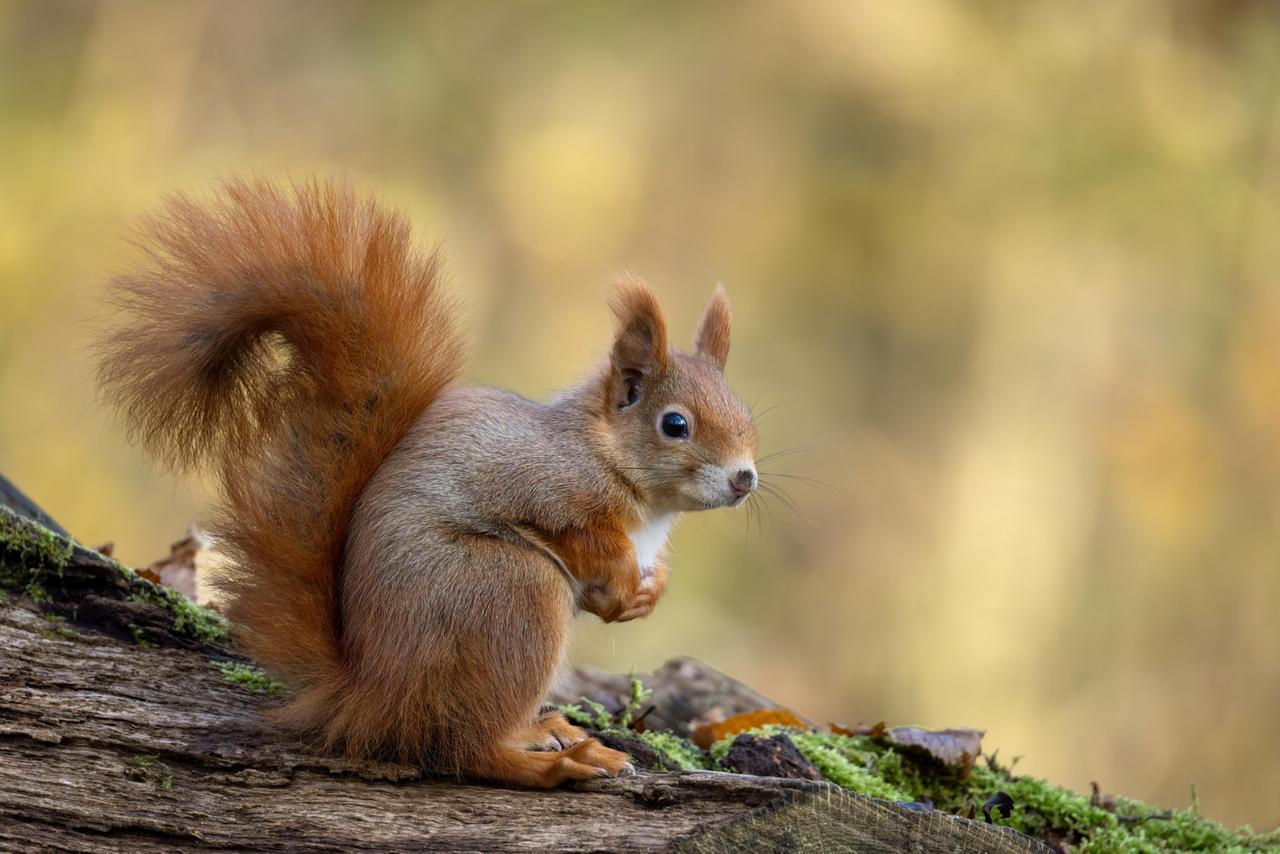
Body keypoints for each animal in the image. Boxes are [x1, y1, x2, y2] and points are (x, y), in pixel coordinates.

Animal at [95, 177, 758, 787]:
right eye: (675, 424)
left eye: (746, 414)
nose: (745, 479)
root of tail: (370, 697)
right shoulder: (538, 480)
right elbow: (576, 532)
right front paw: (622, 582)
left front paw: (646, 594)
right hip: (511, 592)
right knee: (461, 748)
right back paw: (553, 763)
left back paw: (543, 728)